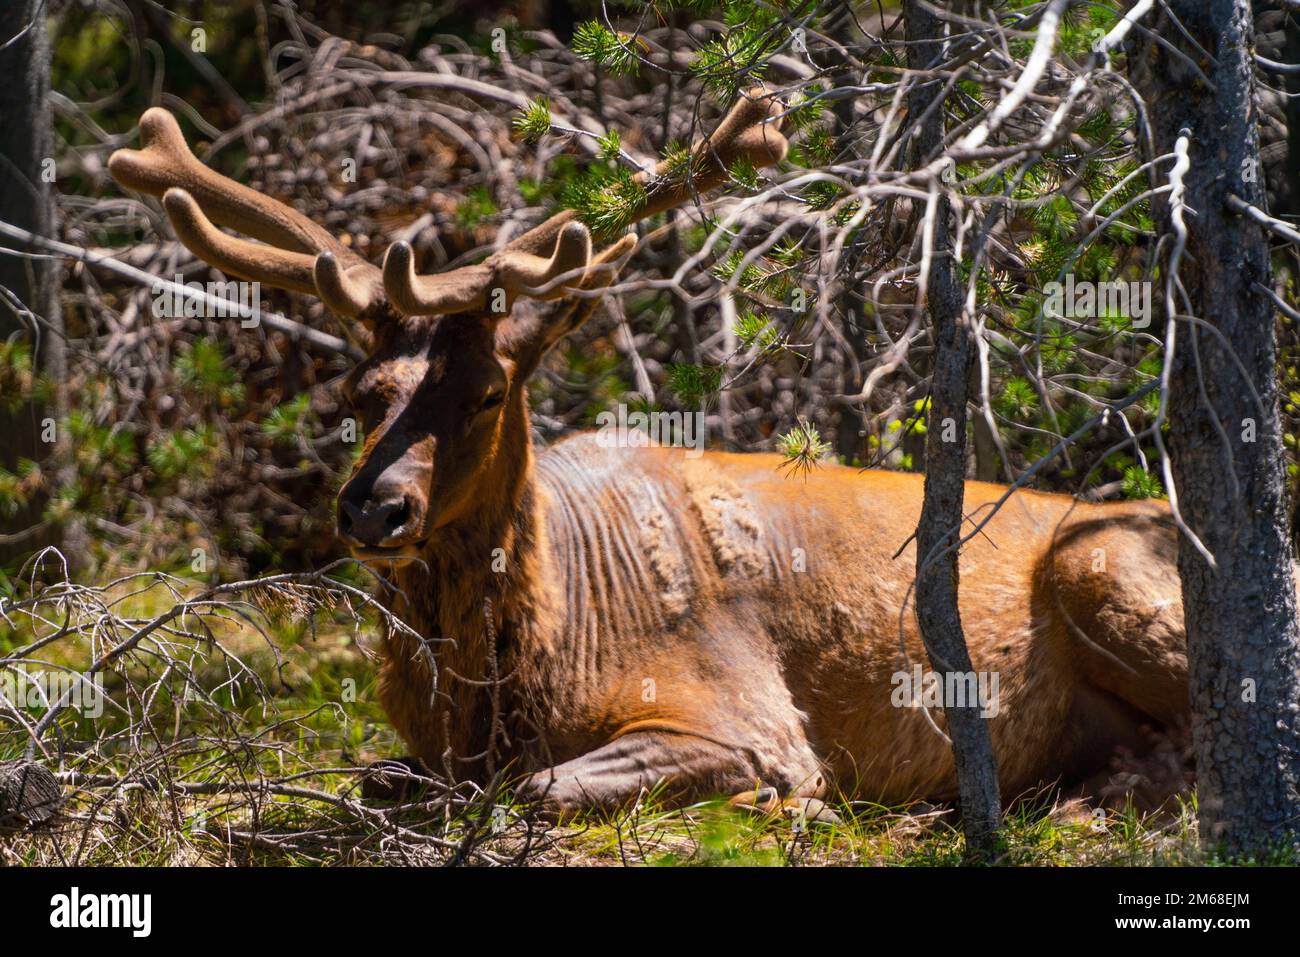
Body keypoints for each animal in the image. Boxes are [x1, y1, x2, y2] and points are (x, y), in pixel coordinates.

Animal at [109, 90, 1199, 819]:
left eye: (488, 392)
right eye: (360, 392)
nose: (374, 509)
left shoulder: (747, 715)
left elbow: (548, 785)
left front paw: (786, 803)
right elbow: (384, 776)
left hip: (1105, 562)